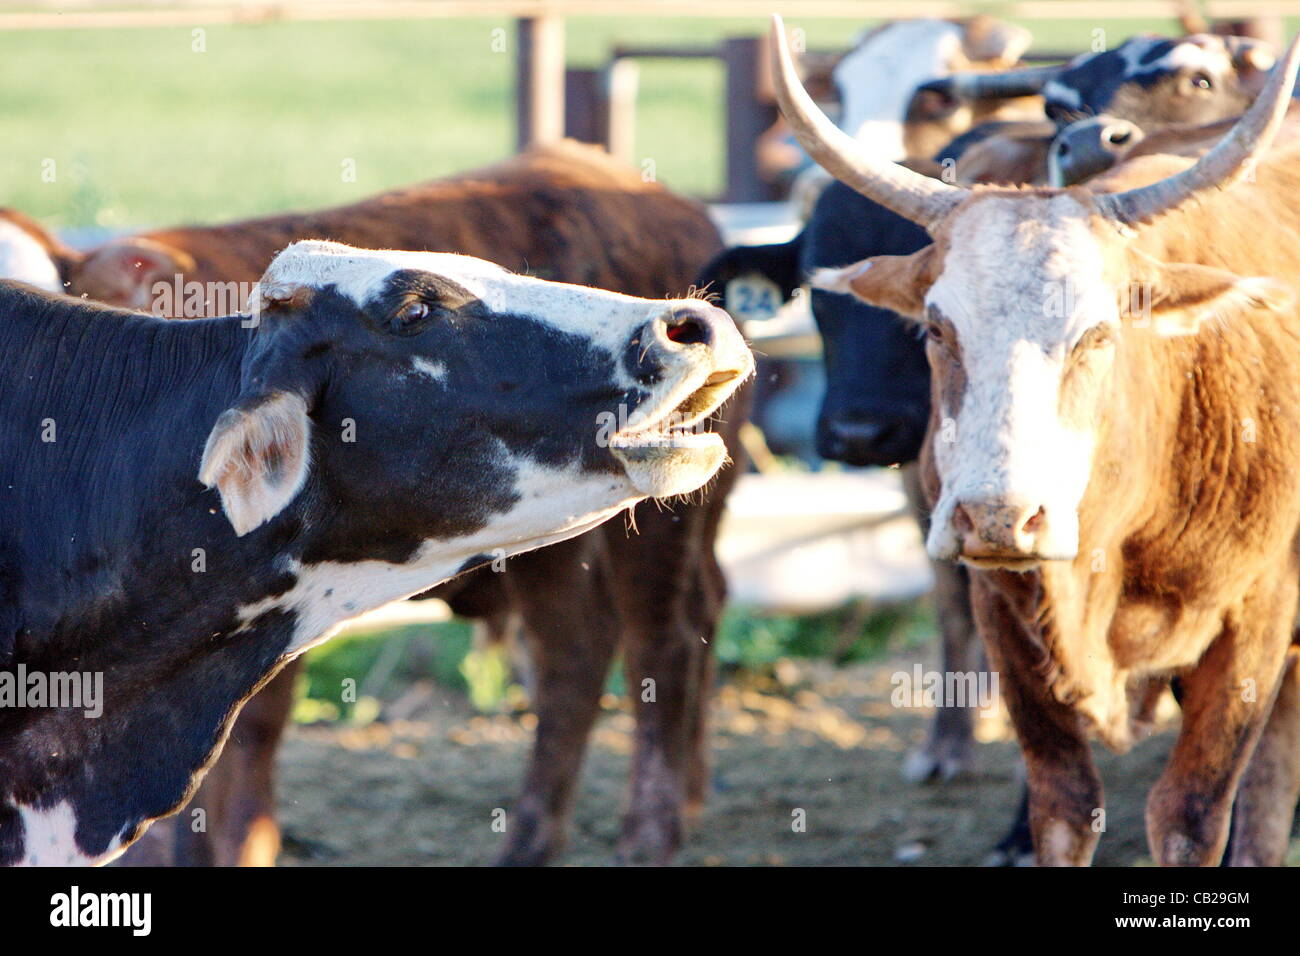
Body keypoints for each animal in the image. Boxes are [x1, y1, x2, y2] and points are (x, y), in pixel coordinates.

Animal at [772, 12, 1300, 865]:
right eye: (935, 327)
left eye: (1099, 333)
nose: (998, 517)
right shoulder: (1006, 618)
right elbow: (1064, 806)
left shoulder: (1256, 619)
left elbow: (1189, 816)